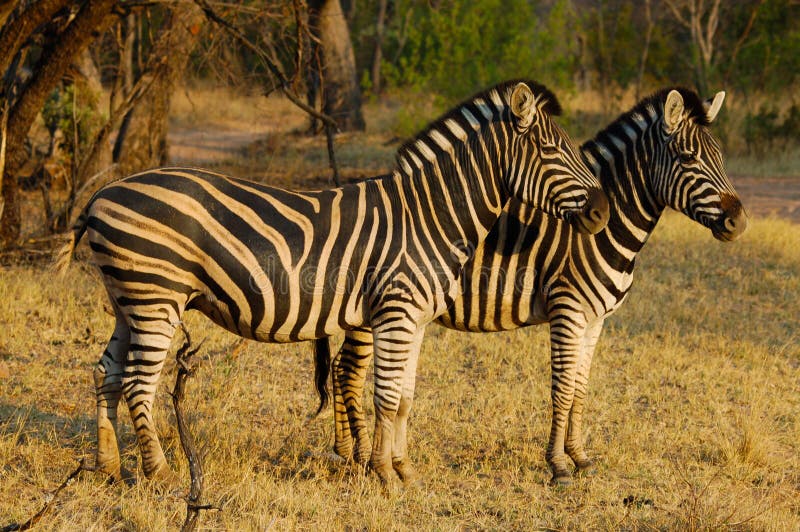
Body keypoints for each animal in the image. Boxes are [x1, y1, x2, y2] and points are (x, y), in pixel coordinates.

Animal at [55, 79, 610, 486]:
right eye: (551, 151)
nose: (603, 213)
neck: (430, 216)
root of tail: (101, 196)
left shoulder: (416, 320)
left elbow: (405, 398)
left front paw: (404, 470)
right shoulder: (397, 313)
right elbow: (385, 396)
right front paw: (384, 475)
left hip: (128, 300)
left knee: (105, 372)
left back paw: (109, 466)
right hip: (156, 298)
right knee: (137, 383)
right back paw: (161, 474)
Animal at [317, 87, 748, 485]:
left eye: (720, 157)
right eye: (688, 158)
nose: (739, 223)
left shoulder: (595, 320)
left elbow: (581, 389)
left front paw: (581, 457)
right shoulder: (567, 310)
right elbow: (562, 389)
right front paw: (558, 466)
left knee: (340, 368)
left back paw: (345, 452)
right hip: (372, 313)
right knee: (348, 370)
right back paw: (358, 457)